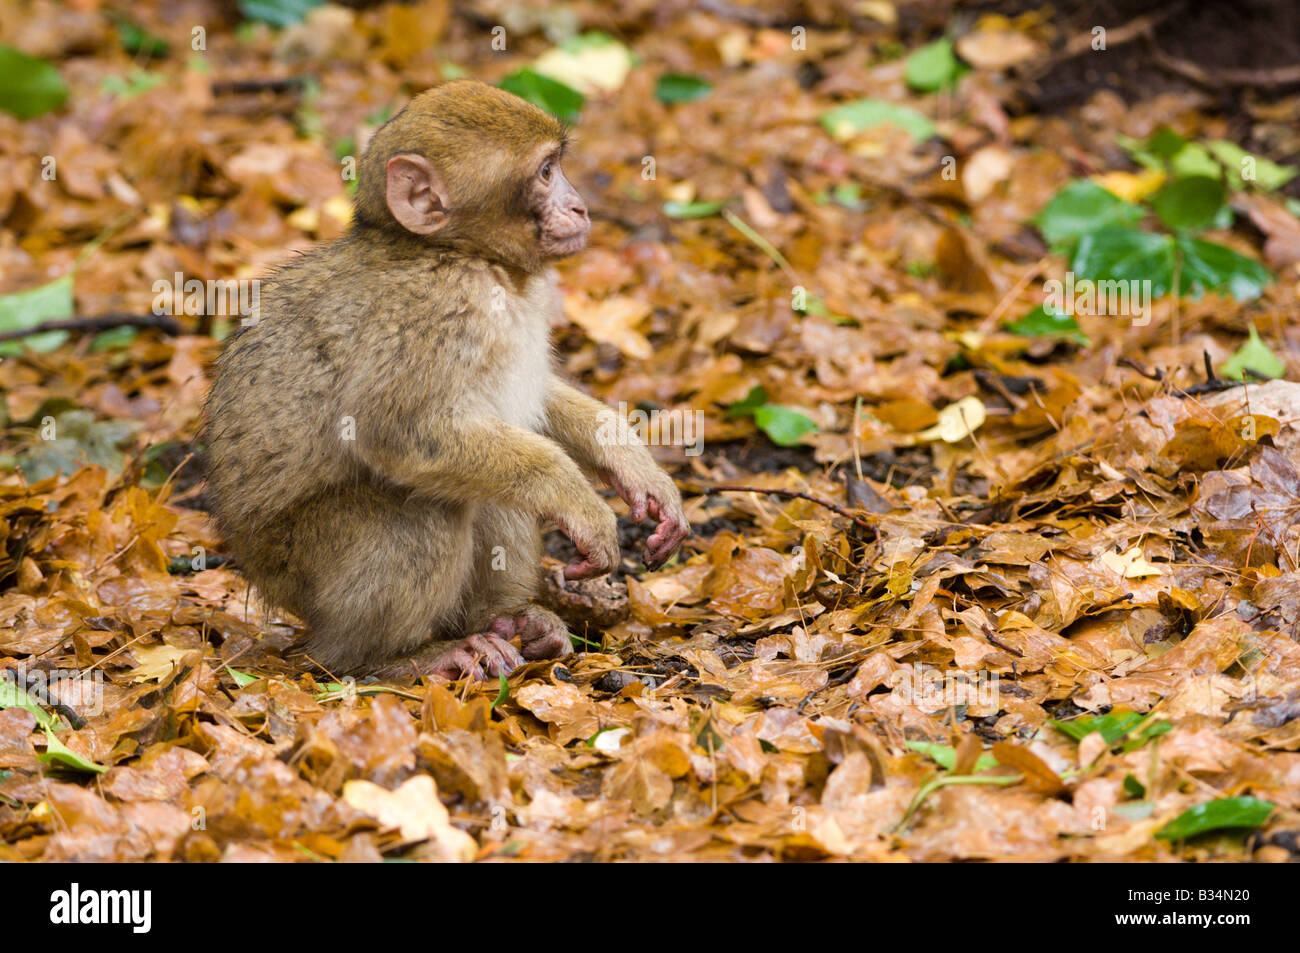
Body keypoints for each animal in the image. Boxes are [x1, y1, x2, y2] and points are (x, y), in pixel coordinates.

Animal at [203, 80, 689, 681]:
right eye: (545, 172)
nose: (579, 205)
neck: (455, 252)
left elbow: (531, 399)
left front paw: (632, 466)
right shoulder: (435, 312)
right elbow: (397, 433)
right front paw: (575, 497)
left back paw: (508, 623)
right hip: (304, 567)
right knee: (421, 512)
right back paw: (393, 659)